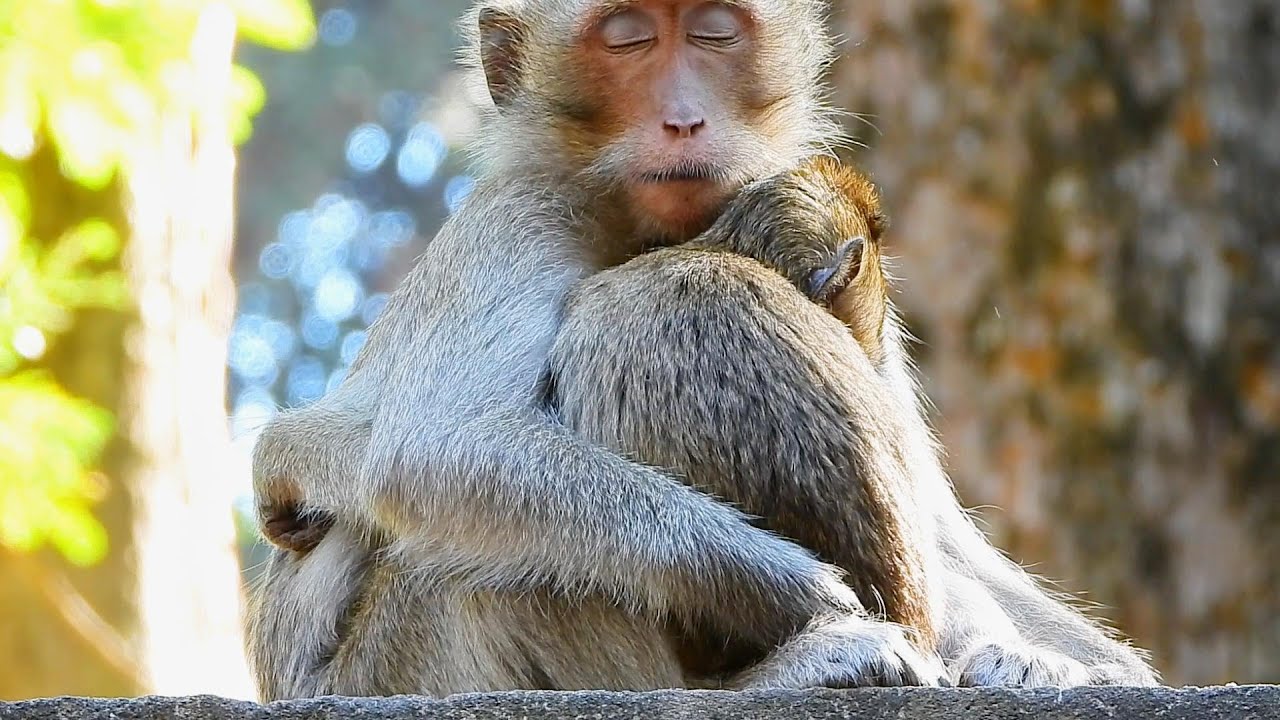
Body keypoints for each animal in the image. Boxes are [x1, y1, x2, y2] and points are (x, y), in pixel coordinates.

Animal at [247, 0, 1159, 699]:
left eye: (716, 33)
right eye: (626, 40)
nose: (683, 117)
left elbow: (943, 533)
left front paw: (1063, 664)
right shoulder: (520, 214)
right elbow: (437, 451)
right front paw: (808, 593)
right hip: (394, 668)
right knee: (471, 573)